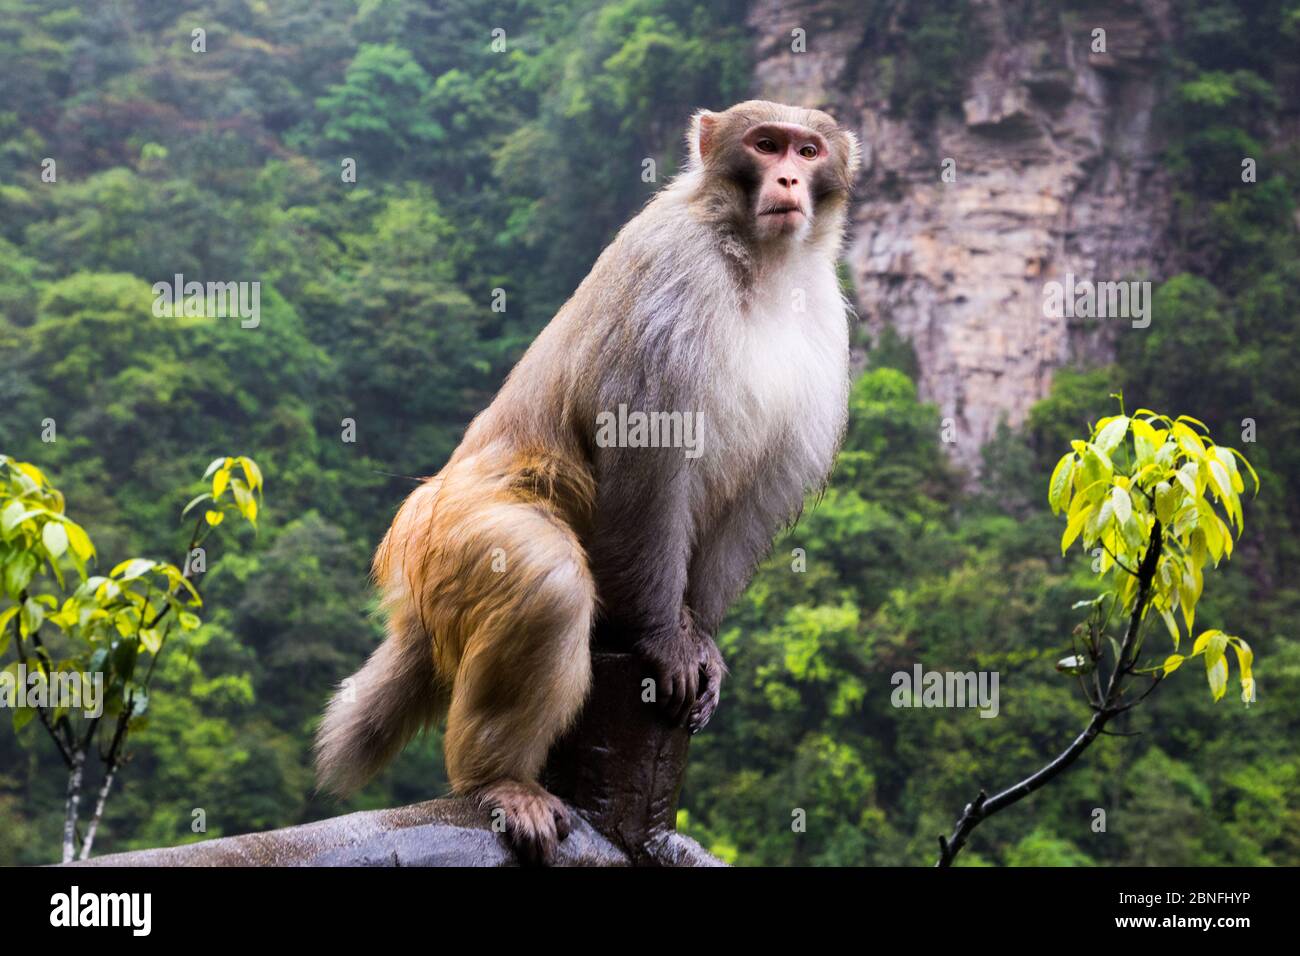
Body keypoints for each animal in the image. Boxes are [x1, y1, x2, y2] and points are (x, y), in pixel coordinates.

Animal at [314, 100, 861, 865]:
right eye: (765, 144)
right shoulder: (672, 282)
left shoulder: (823, 330)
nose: (787, 177)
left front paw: (700, 637)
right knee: (546, 582)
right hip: (442, 535)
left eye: (808, 150)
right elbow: (646, 453)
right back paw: (499, 780)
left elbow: (759, 496)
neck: (760, 264)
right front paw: (664, 638)